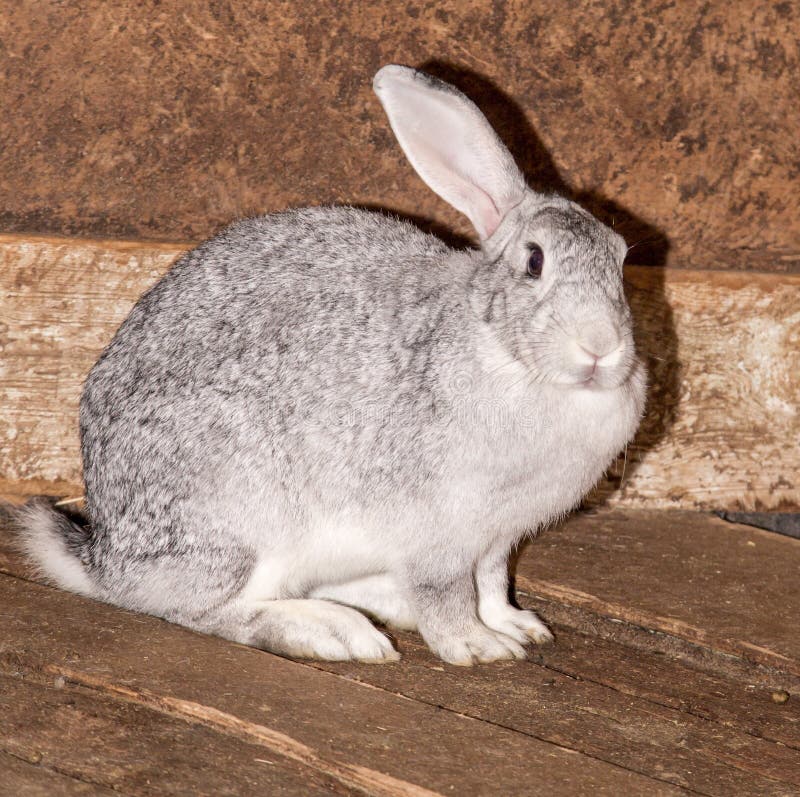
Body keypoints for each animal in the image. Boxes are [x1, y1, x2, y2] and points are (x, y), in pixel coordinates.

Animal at [14, 65, 646, 665]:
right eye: (534, 261)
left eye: (619, 260)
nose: (600, 346)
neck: (507, 352)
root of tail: (104, 561)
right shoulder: (440, 534)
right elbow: (447, 594)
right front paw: (476, 647)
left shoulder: (496, 538)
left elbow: (490, 586)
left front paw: (518, 627)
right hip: (239, 518)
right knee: (201, 610)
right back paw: (334, 634)